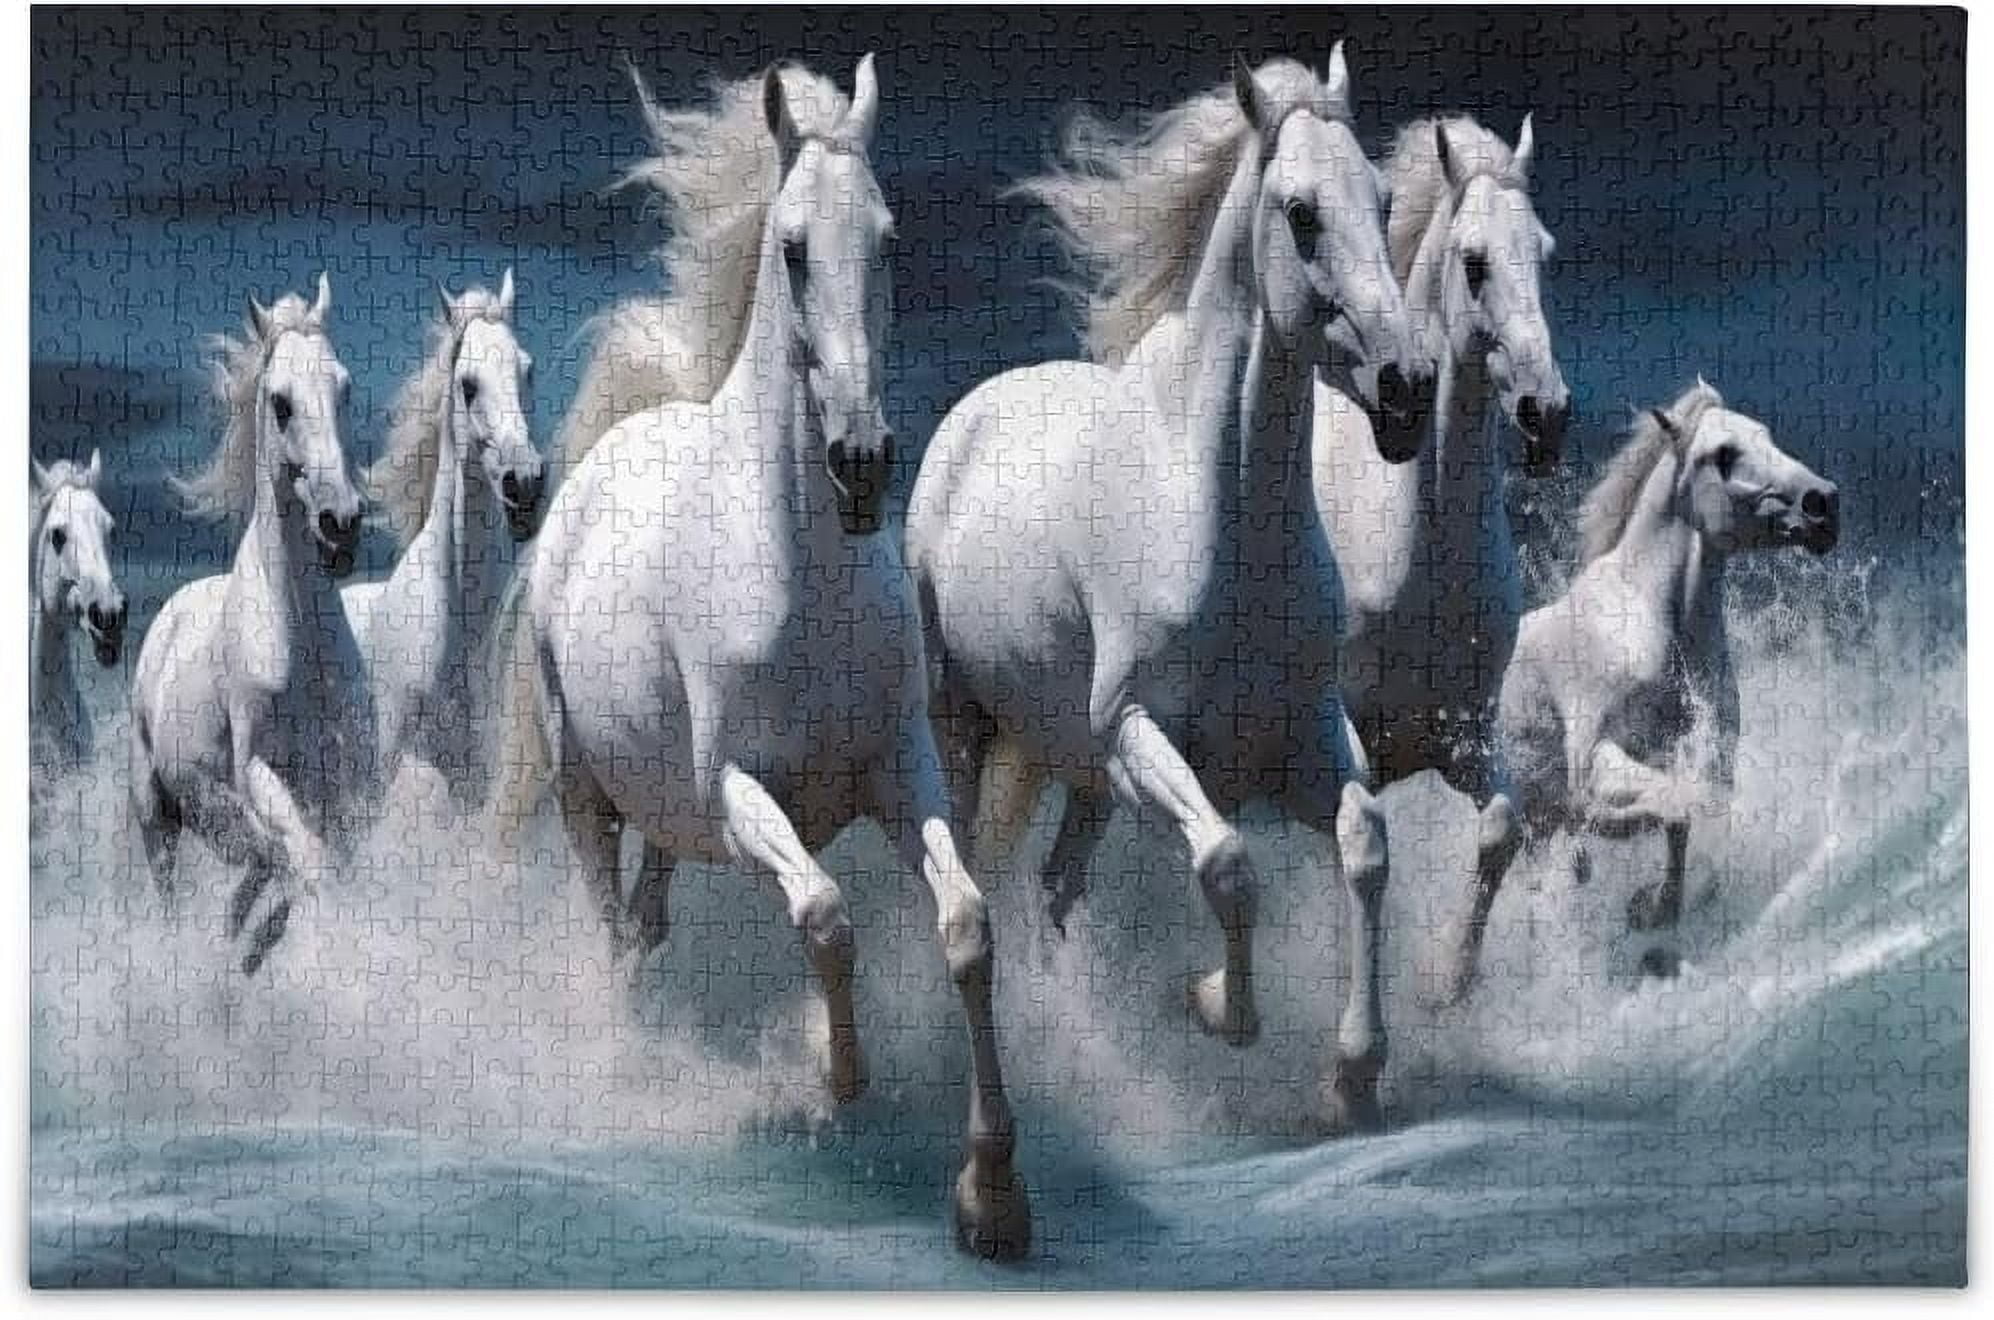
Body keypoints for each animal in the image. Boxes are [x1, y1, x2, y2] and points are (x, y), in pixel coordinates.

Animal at [129, 274, 375, 976]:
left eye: (344, 387)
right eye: (281, 402)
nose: (341, 523)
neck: (301, 640)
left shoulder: (347, 786)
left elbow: (311, 864)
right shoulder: (258, 766)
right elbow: (305, 861)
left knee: (256, 871)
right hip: (156, 816)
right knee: (183, 887)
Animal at [490, 58, 1033, 1260]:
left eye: (888, 237)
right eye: (790, 247)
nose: (863, 460)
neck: (799, 574)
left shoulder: (903, 772)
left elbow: (968, 927)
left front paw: (992, 1198)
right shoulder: (743, 797)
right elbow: (825, 915)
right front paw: (836, 1078)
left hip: (663, 819)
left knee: (646, 925)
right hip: (586, 796)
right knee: (613, 935)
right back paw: (625, 1078)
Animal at [906, 49, 1434, 1133]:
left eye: (1382, 196)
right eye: (1301, 213)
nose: (1406, 390)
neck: (1227, 526)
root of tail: (970, 414)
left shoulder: (1302, 734)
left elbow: (1364, 844)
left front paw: (1352, 1073)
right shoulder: (1136, 734)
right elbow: (1226, 864)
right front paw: (1215, 1005)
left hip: (1078, 774)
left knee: (1056, 887)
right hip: (969, 726)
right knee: (978, 870)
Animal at [1312, 115, 1571, 1008]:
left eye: (1545, 253)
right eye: (1475, 262)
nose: (1546, 413)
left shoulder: (1463, 744)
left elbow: (1501, 832)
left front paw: (1444, 983)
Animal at [1491, 379, 1838, 981]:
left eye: (1766, 436)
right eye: (1722, 455)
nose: (1823, 504)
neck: (1653, 621)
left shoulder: (1704, 746)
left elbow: (1691, 814)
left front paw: (1656, 913)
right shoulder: (1595, 764)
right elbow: (1675, 806)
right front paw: (1650, 909)